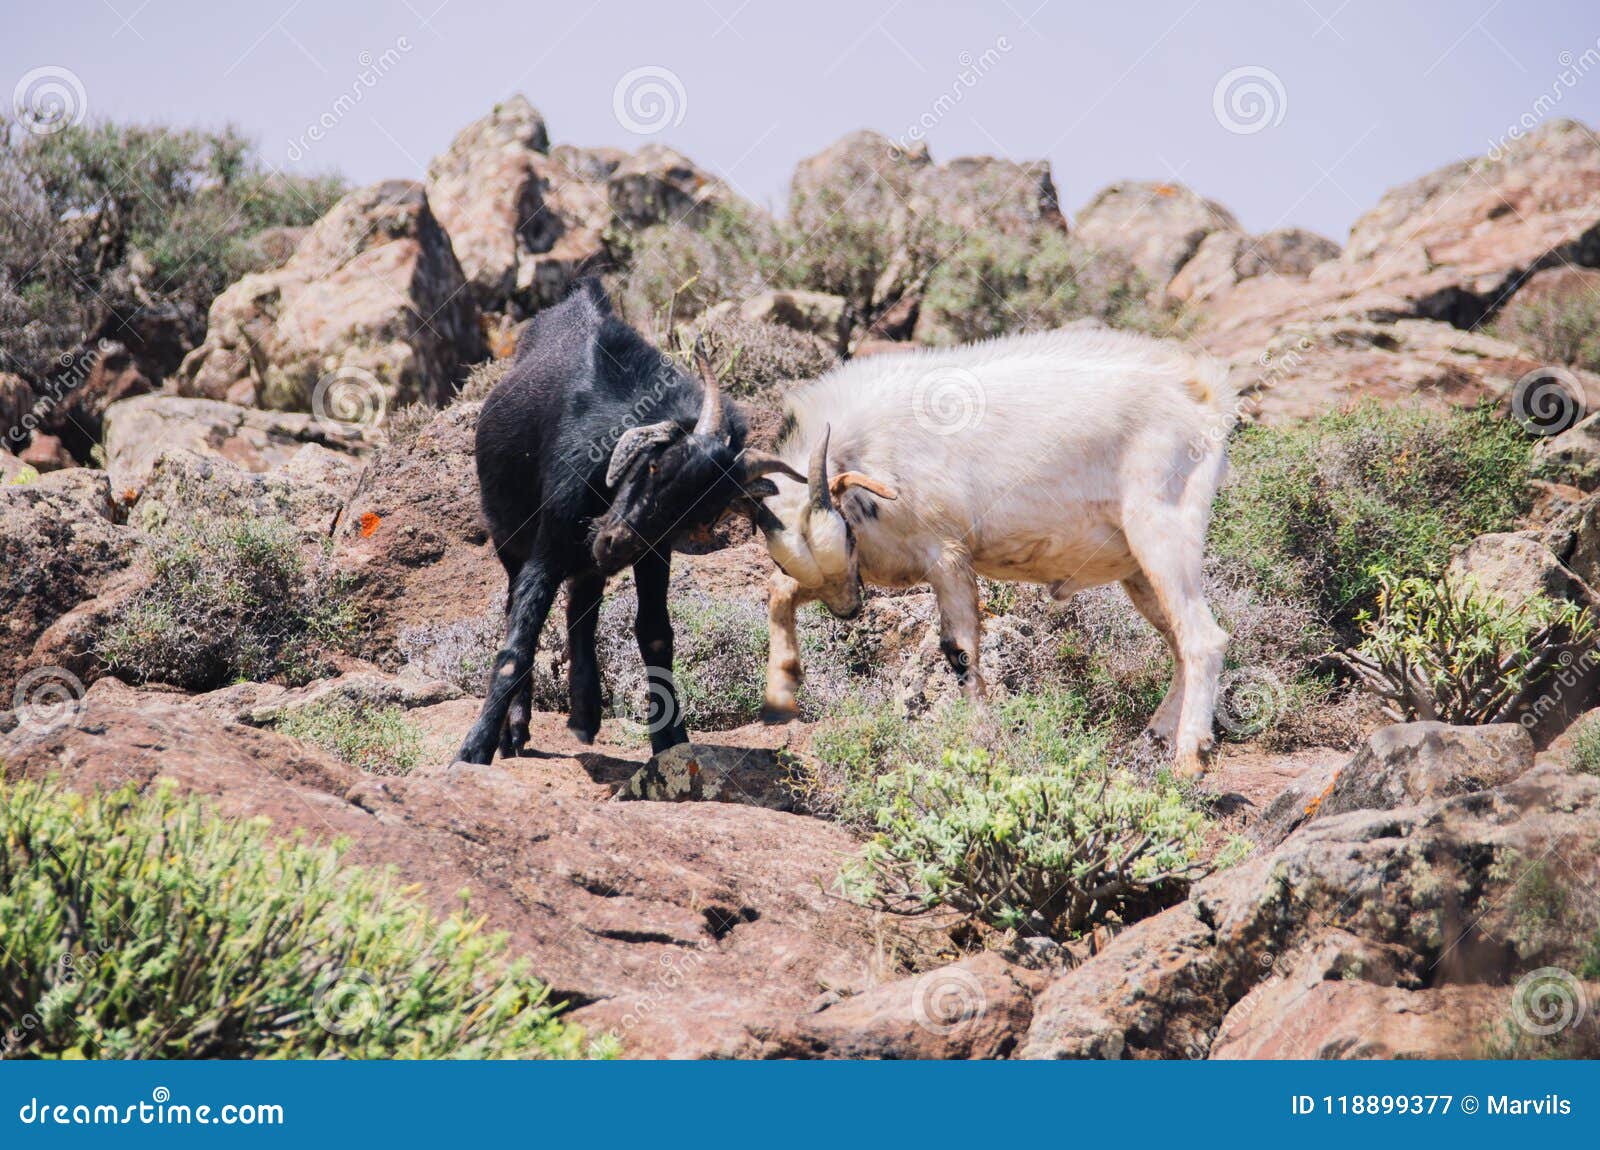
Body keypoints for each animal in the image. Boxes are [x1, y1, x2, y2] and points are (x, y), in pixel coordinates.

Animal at [457, 280, 801, 764]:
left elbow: (654, 633)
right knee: (522, 606)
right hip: (511, 539)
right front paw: (475, 749)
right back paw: (518, 729)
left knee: (582, 606)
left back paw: (585, 713)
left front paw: (670, 741)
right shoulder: (550, 541)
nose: (613, 544)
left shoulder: (653, 553)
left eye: (695, 516)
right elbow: (517, 645)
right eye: (655, 466)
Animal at [749, 327, 1237, 776]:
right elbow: (779, 591)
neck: (872, 445)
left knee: (1203, 639)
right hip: (1139, 571)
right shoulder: (854, 571)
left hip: (1163, 534)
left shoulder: (946, 555)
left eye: (847, 536)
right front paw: (780, 692)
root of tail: (1202, 394)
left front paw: (982, 738)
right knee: (1178, 643)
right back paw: (1152, 741)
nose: (850, 612)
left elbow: (959, 649)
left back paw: (1189, 759)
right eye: (777, 555)